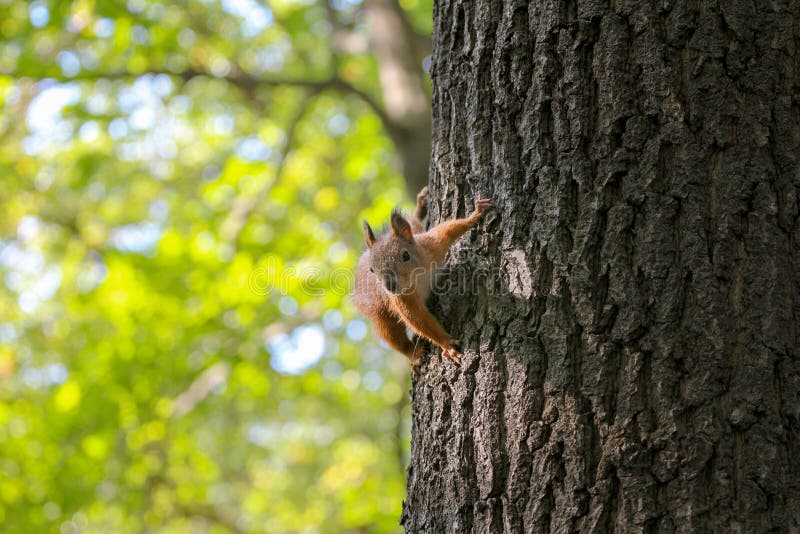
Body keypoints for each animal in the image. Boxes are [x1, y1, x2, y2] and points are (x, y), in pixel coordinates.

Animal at [353, 187, 494, 375]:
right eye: (372, 270)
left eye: (405, 255)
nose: (390, 287)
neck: (418, 276)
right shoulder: (402, 298)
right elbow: (418, 319)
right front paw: (447, 345)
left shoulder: (432, 245)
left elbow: (448, 229)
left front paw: (475, 214)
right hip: (378, 313)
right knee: (393, 337)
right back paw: (414, 355)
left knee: (414, 223)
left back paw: (421, 206)